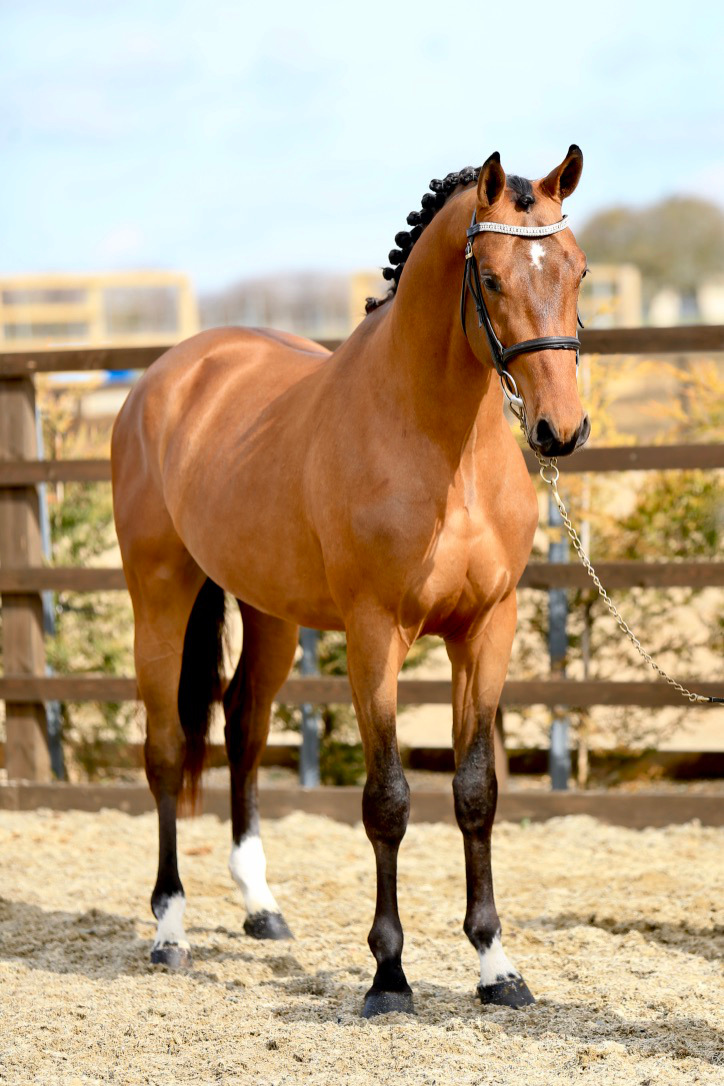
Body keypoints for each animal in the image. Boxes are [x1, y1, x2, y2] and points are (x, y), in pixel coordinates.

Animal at [111, 146, 589, 1017]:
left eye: (577, 268)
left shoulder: (488, 631)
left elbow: (476, 792)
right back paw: (170, 929)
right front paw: (389, 975)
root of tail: (170, 372)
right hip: (159, 597)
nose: (560, 431)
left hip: (268, 613)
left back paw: (260, 906)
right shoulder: (376, 636)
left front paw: (496, 967)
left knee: (243, 728)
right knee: (165, 752)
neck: (441, 448)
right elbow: (388, 800)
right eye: (492, 278)